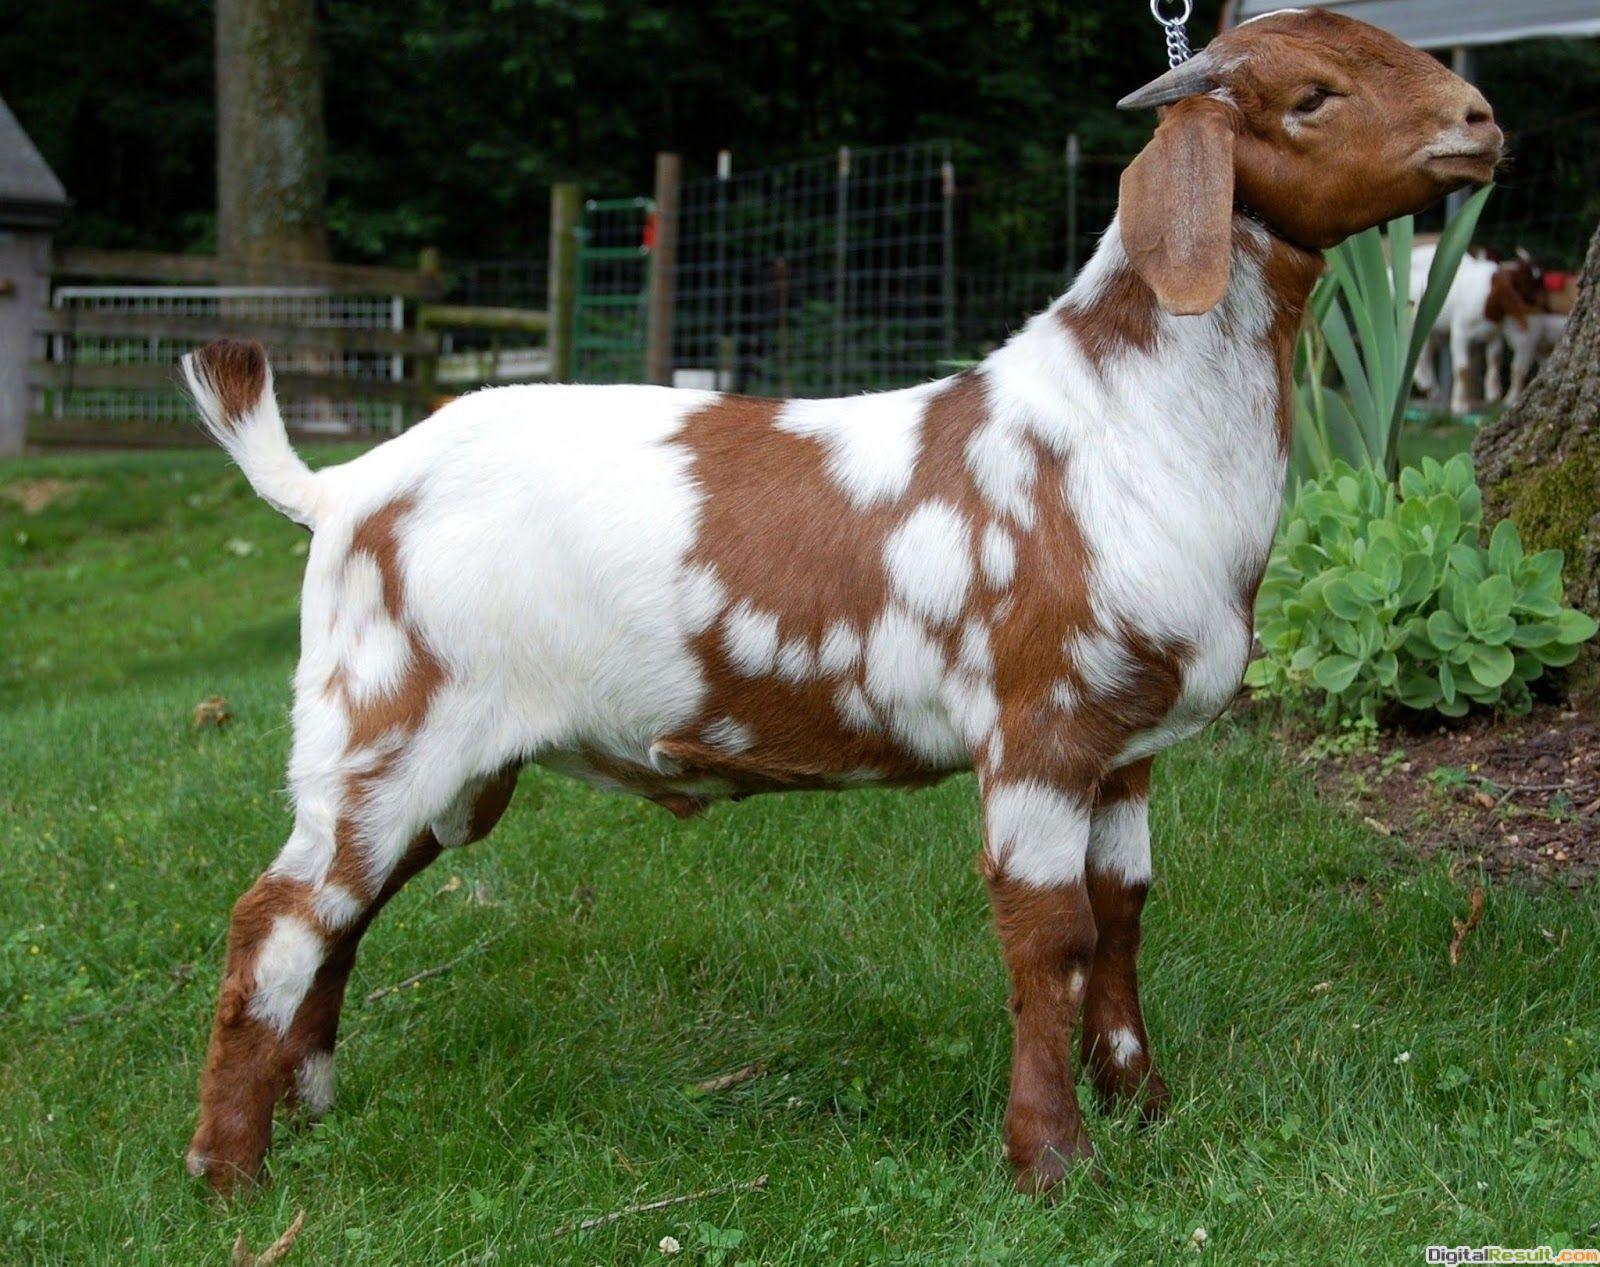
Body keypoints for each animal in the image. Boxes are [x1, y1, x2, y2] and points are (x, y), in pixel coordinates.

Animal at [180, 8, 1500, 1197]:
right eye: (1313, 94)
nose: (1479, 122)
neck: (1119, 430)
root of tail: (340, 488)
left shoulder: (1125, 748)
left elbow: (1120, 913)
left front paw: (1142, 1100)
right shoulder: (1037, 725)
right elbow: (1049, 934)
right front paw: (1051, 1160)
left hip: (450, 764)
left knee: (341, 917)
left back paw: (307, 1104)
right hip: (379, 723)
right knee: (274, 918)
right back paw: (230, 1172)